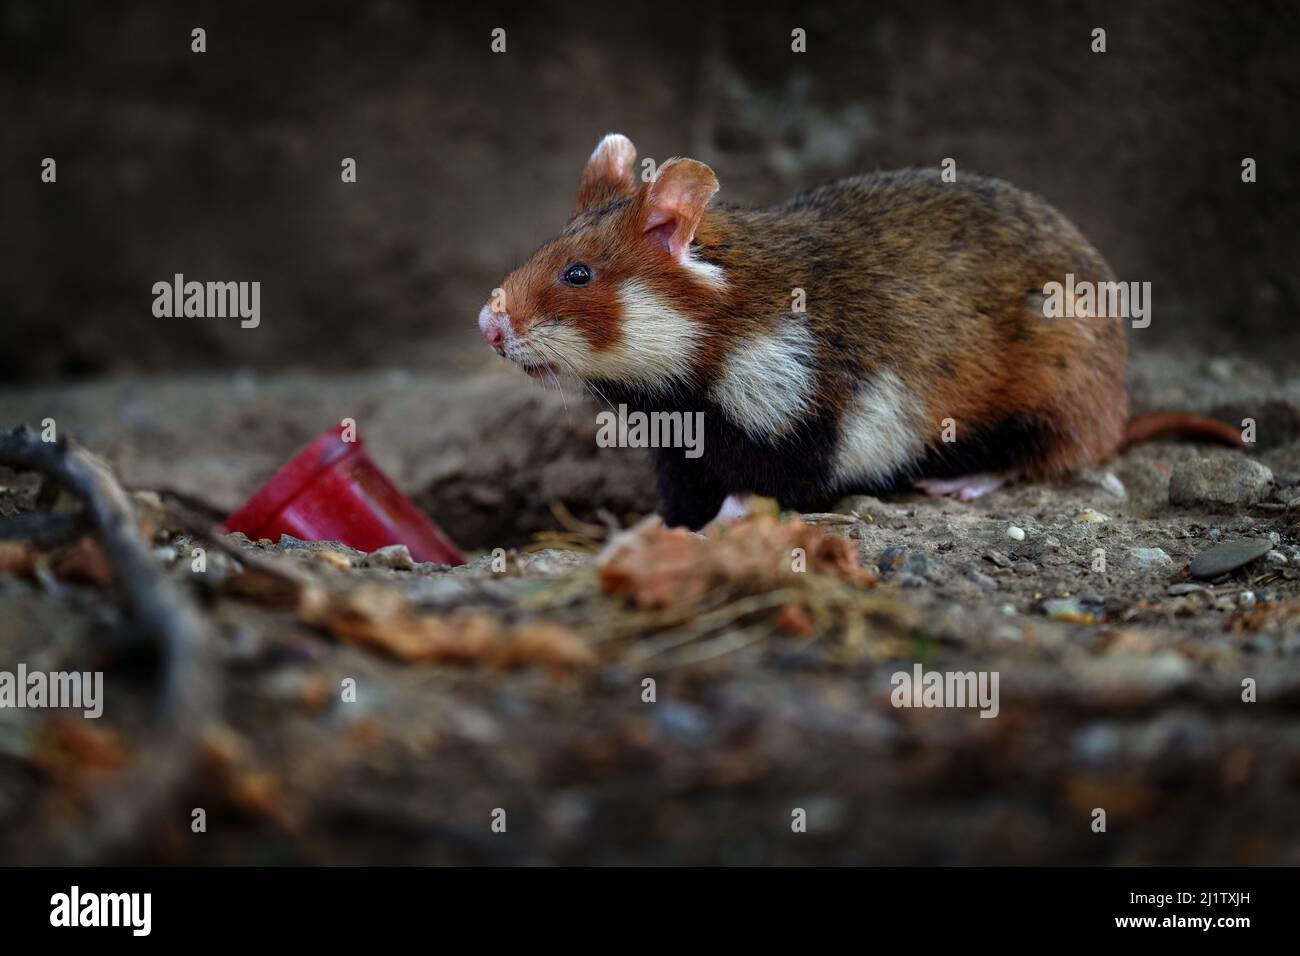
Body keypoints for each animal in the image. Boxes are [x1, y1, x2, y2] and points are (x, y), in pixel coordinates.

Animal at [480, 133, 1242, 529]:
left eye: (578, 274)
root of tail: (1120, 410)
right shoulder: (682, 450)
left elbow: (765, 489)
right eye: (547, 248)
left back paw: (962, 484)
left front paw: (722, 526)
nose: (487, 325)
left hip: (1054, 393)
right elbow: (683, 502)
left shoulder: (817, 421)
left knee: (1047, 454)